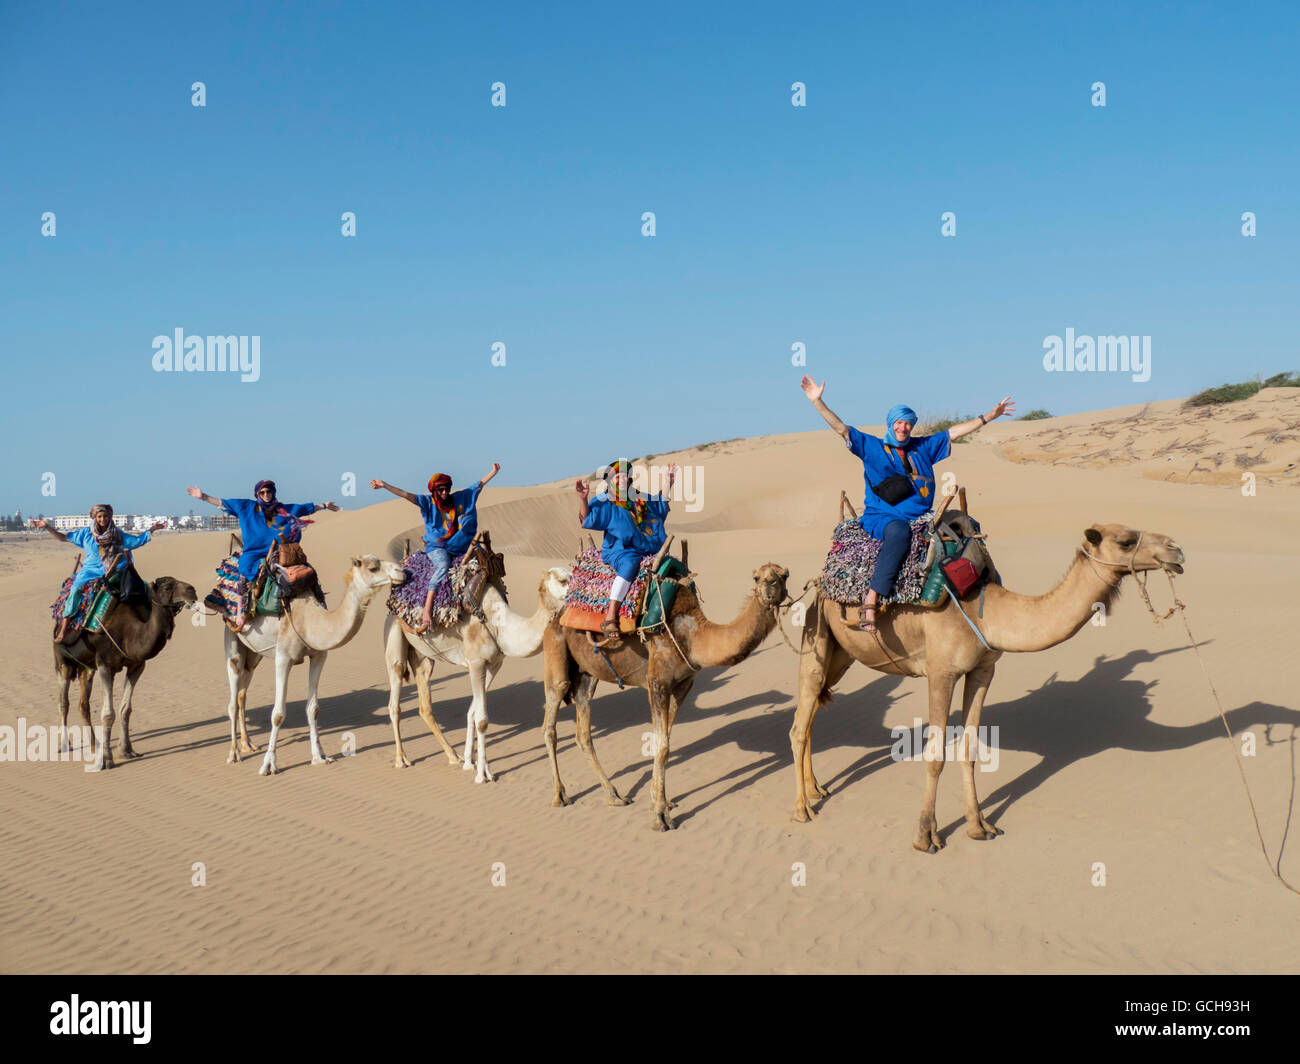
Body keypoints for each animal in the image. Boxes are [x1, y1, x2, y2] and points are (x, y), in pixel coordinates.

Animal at [53, 577, 197, 764]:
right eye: (166, 587)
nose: (191, 590)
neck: (131, 633)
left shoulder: (137, 665)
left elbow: (125, 710)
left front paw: (126, 750)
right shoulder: (105, 664)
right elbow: (108, 714)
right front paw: (106, 759)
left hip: (87, 668)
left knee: (83, 704)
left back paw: (94, 745)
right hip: (62, 662)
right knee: (64, 703)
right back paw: (65, 745)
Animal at [224, 556, 405, 770]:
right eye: (373, 568)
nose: (401, 571)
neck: (309, 621)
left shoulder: (319, 655)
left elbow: (313, 709)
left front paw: (319, 756)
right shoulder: (283, 658)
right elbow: (278, 714)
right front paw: (269, 764)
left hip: (253, 653)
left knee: (242, 693)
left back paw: (247, 744)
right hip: (232, 635)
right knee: (233, 697)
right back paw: (234, 753)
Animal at [382, 564, 572, 780]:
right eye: (562, 580)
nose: (578, 592)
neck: (499, 625)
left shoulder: (493, 665)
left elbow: (472, 712)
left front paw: (471, 763)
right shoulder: (476, 663)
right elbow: (481, 720)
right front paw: (482, 775)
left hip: (424, 657)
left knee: (424, 704)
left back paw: (453, 756)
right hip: (394, 637)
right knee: (394, 701)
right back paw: (401, 759)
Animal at [540, 564, 785, 827]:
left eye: (785, 575)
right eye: (757, 577)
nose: (771, 586)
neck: (692, 634)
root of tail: (557, 615)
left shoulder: (683, 684)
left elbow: (665, 741)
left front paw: (663, 803)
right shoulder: (657, 681)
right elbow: (661, 744)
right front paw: (660, 815)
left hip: (587, 673)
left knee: (583, 730)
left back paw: (614, 795)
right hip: (556, 654)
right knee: (551, 723)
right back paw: (560, 794)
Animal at [790, 517, 1190, 848]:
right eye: (1126, 540)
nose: (1176, 550)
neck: (987, 612)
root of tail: (820, 580)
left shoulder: (982, 670)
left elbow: (968, 749)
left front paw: (978, 827)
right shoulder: (941, 672)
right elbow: (936, 754)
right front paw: (926, 835)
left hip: (843, 654)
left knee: (810, 718)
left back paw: (817, 790)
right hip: (816, 634)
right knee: (800, 723)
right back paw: (802, 810)